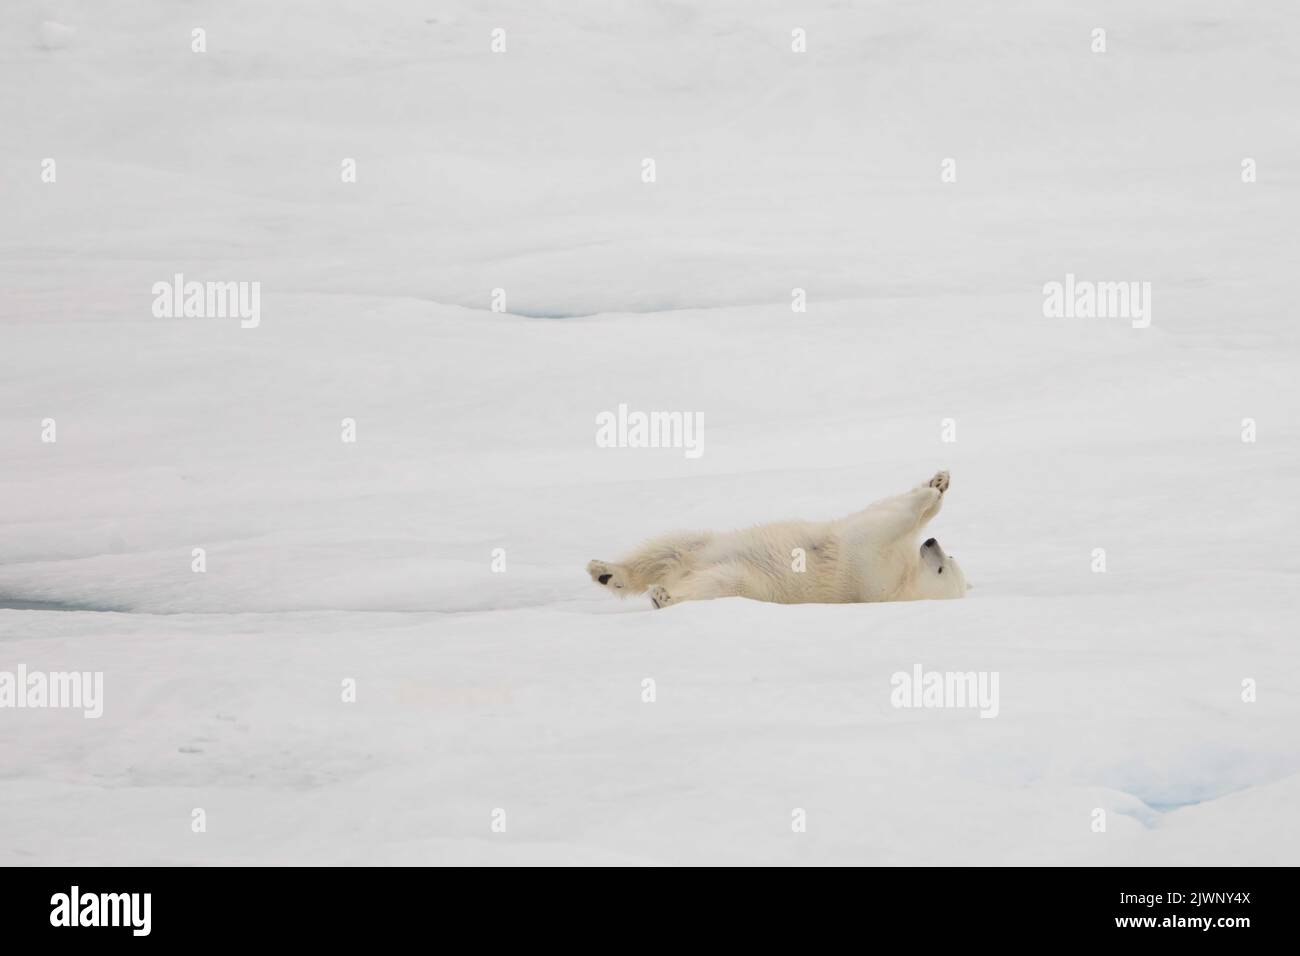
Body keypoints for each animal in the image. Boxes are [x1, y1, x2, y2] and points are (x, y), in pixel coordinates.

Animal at [587, 470, 969, 609]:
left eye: (941, 570)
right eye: (950, 561)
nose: (932, 544)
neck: (903, 581)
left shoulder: (871, 567)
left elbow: (885, 521)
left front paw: (932, 494)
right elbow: (883, 510)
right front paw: (939, 482)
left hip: (747, 581)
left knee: (717, 580)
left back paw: (662, 596)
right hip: (701, 544)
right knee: (669, 546)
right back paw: (605, 571)